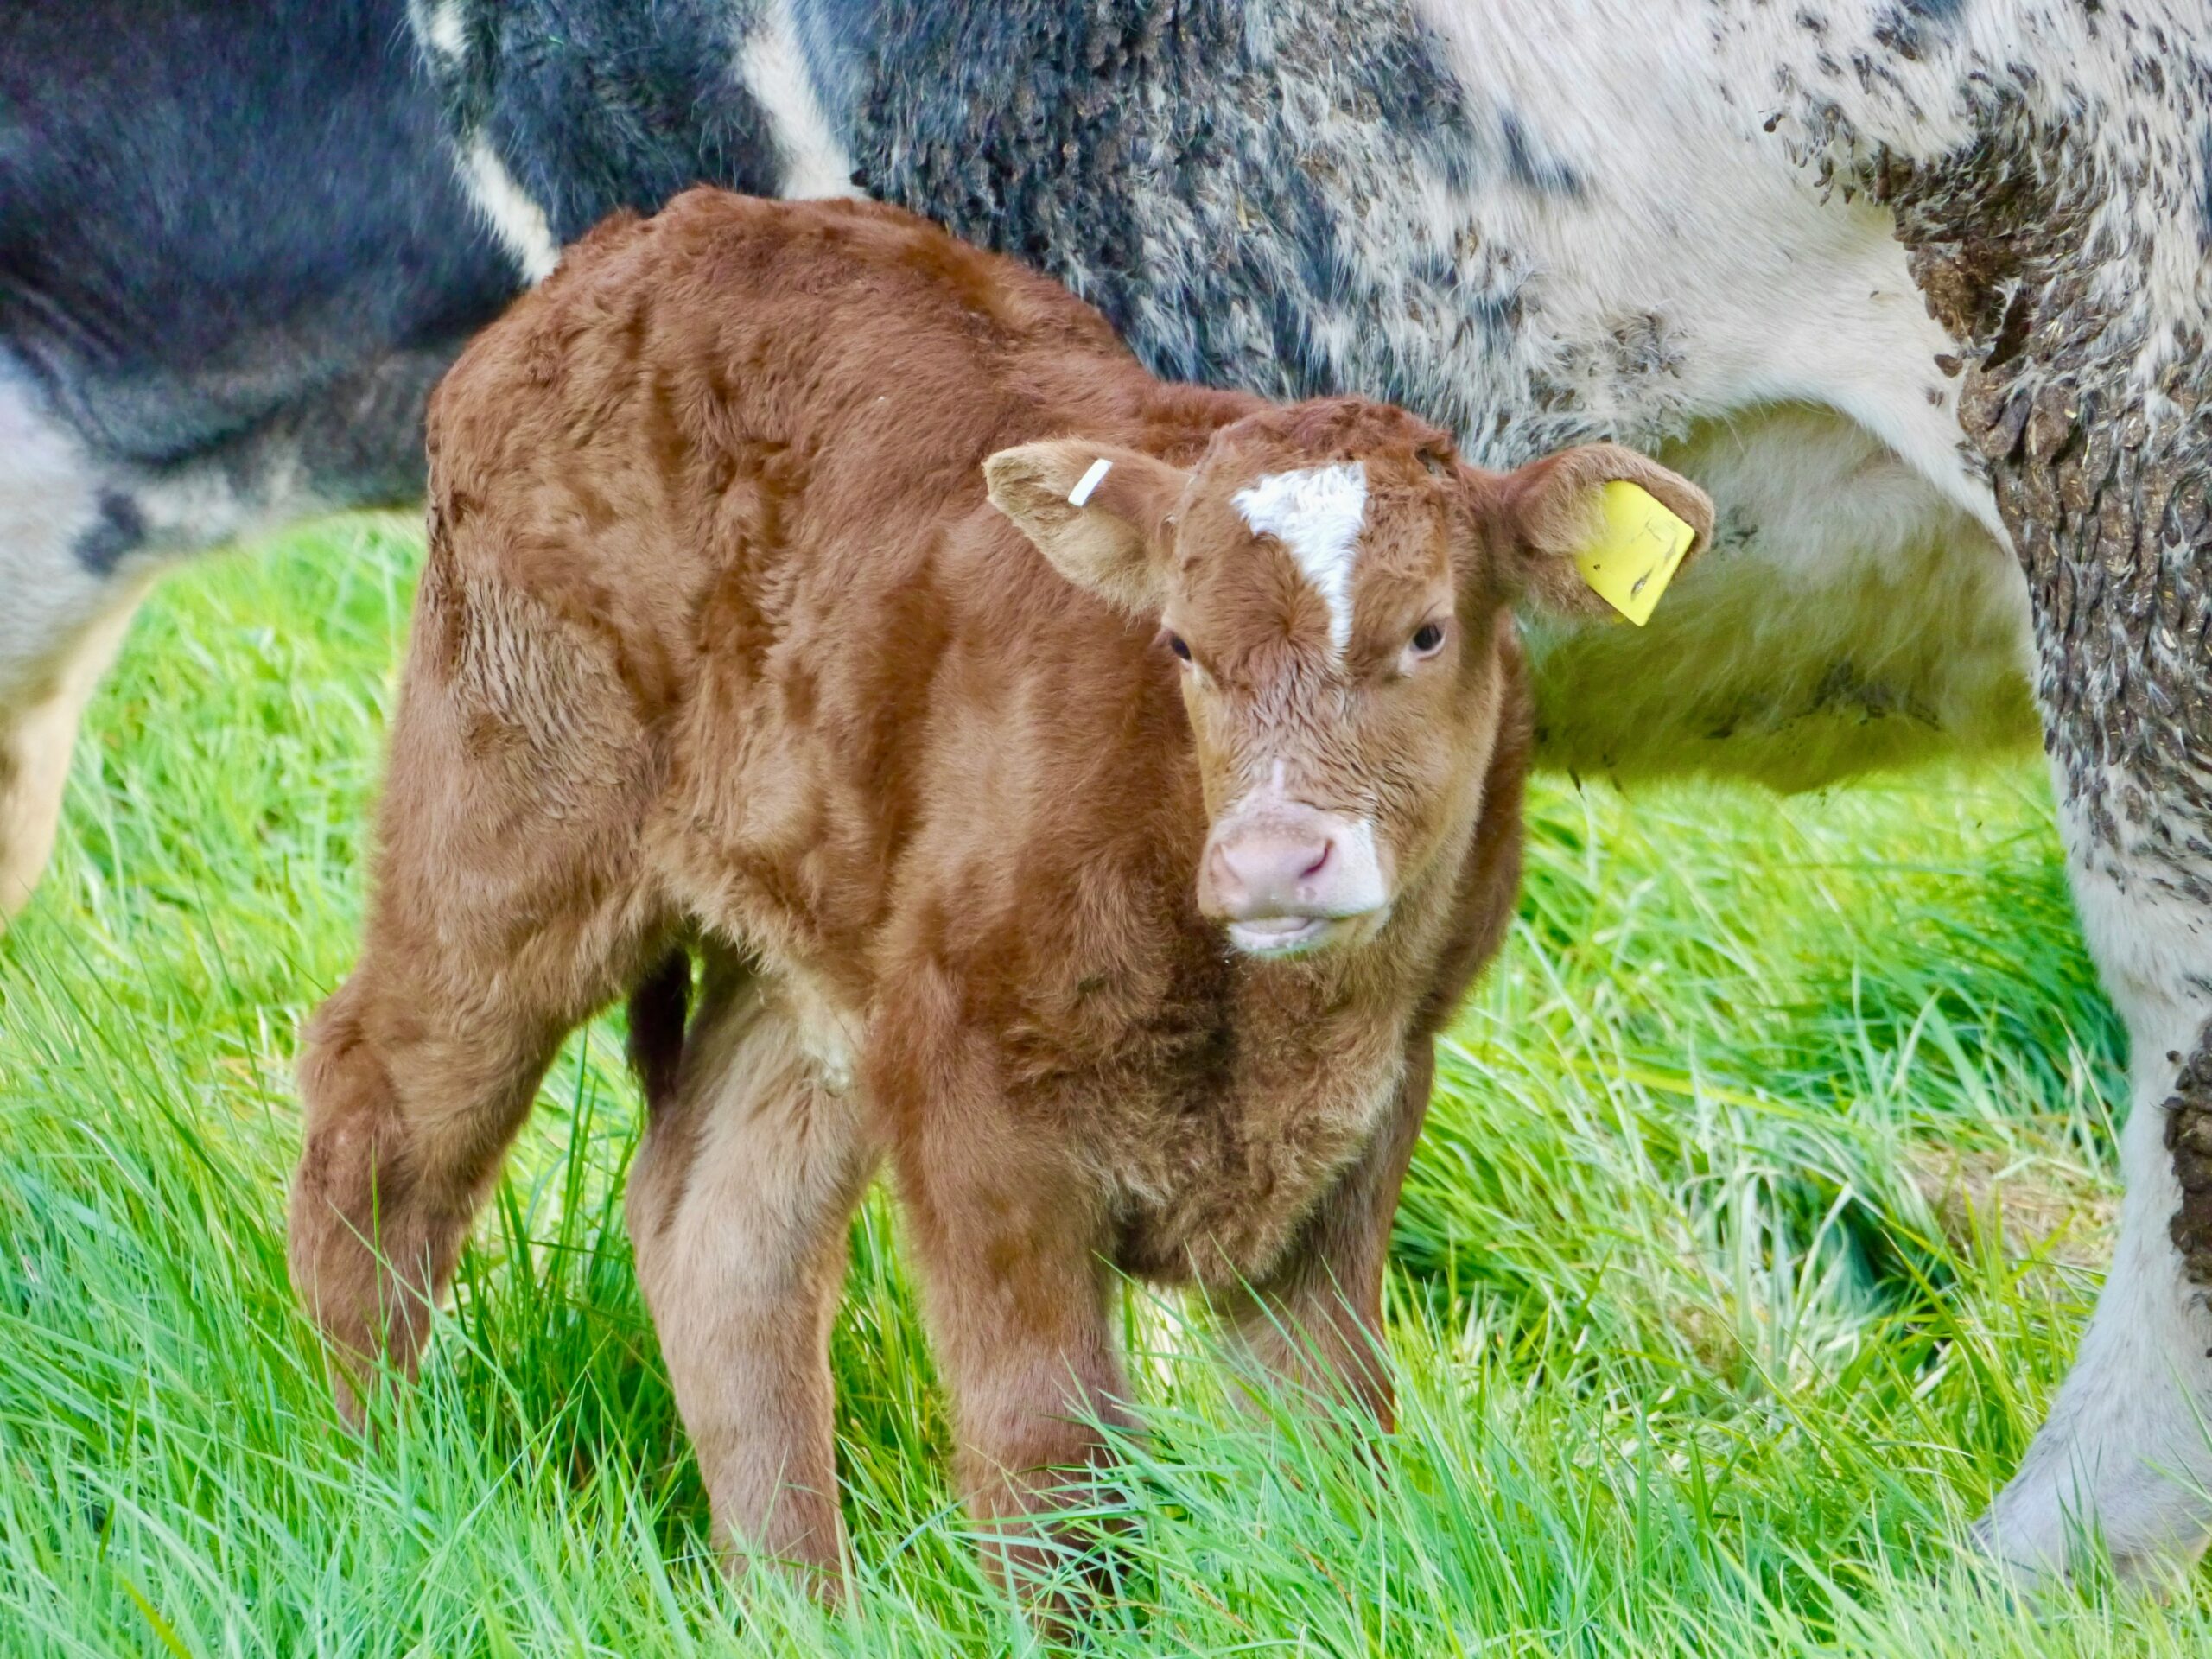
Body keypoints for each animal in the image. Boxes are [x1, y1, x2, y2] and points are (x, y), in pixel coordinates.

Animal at [286, 186, 1716, 1589]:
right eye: (1181, 645)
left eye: (1427, 631)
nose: (1270, 857)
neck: (1267, 1027)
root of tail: (641, 238)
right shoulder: (972, 1086)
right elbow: (1054, 1458)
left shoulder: (1365, 1114)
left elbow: (1330, 1432)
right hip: (508, 822)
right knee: (383, 1130)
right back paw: (379, 1493)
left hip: (817, 941)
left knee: (721, 1235)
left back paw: (799, 1606)